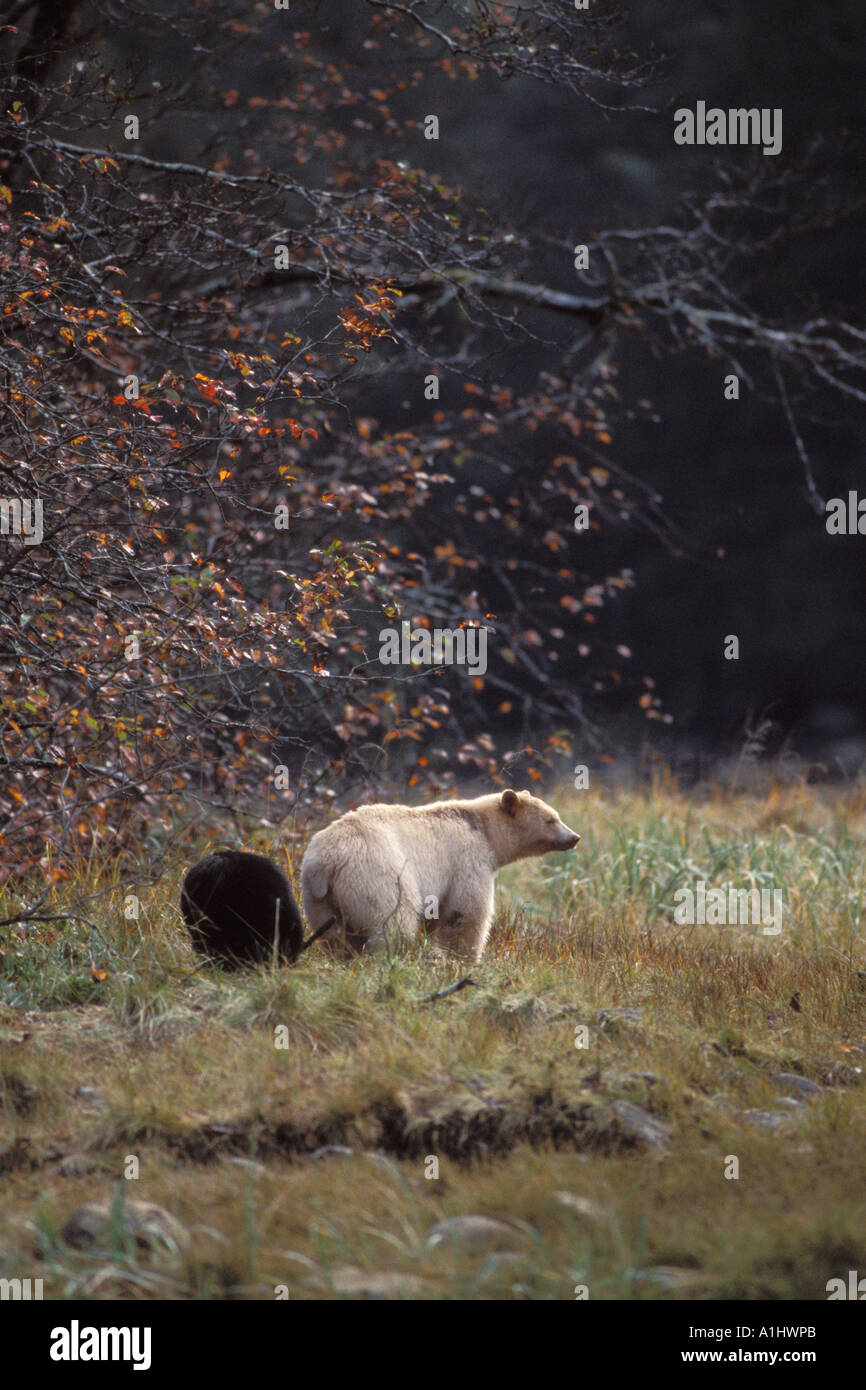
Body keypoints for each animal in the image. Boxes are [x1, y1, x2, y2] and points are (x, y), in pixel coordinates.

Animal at [300, 788, 580, 963]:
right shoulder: (467, 861)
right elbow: (466, 913)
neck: (484, 830)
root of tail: (327, 863)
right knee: (394, 924)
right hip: (377, 875)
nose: (575, 837)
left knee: (334, 938)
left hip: (319, 900)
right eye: (551, 819)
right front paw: (467, 959)